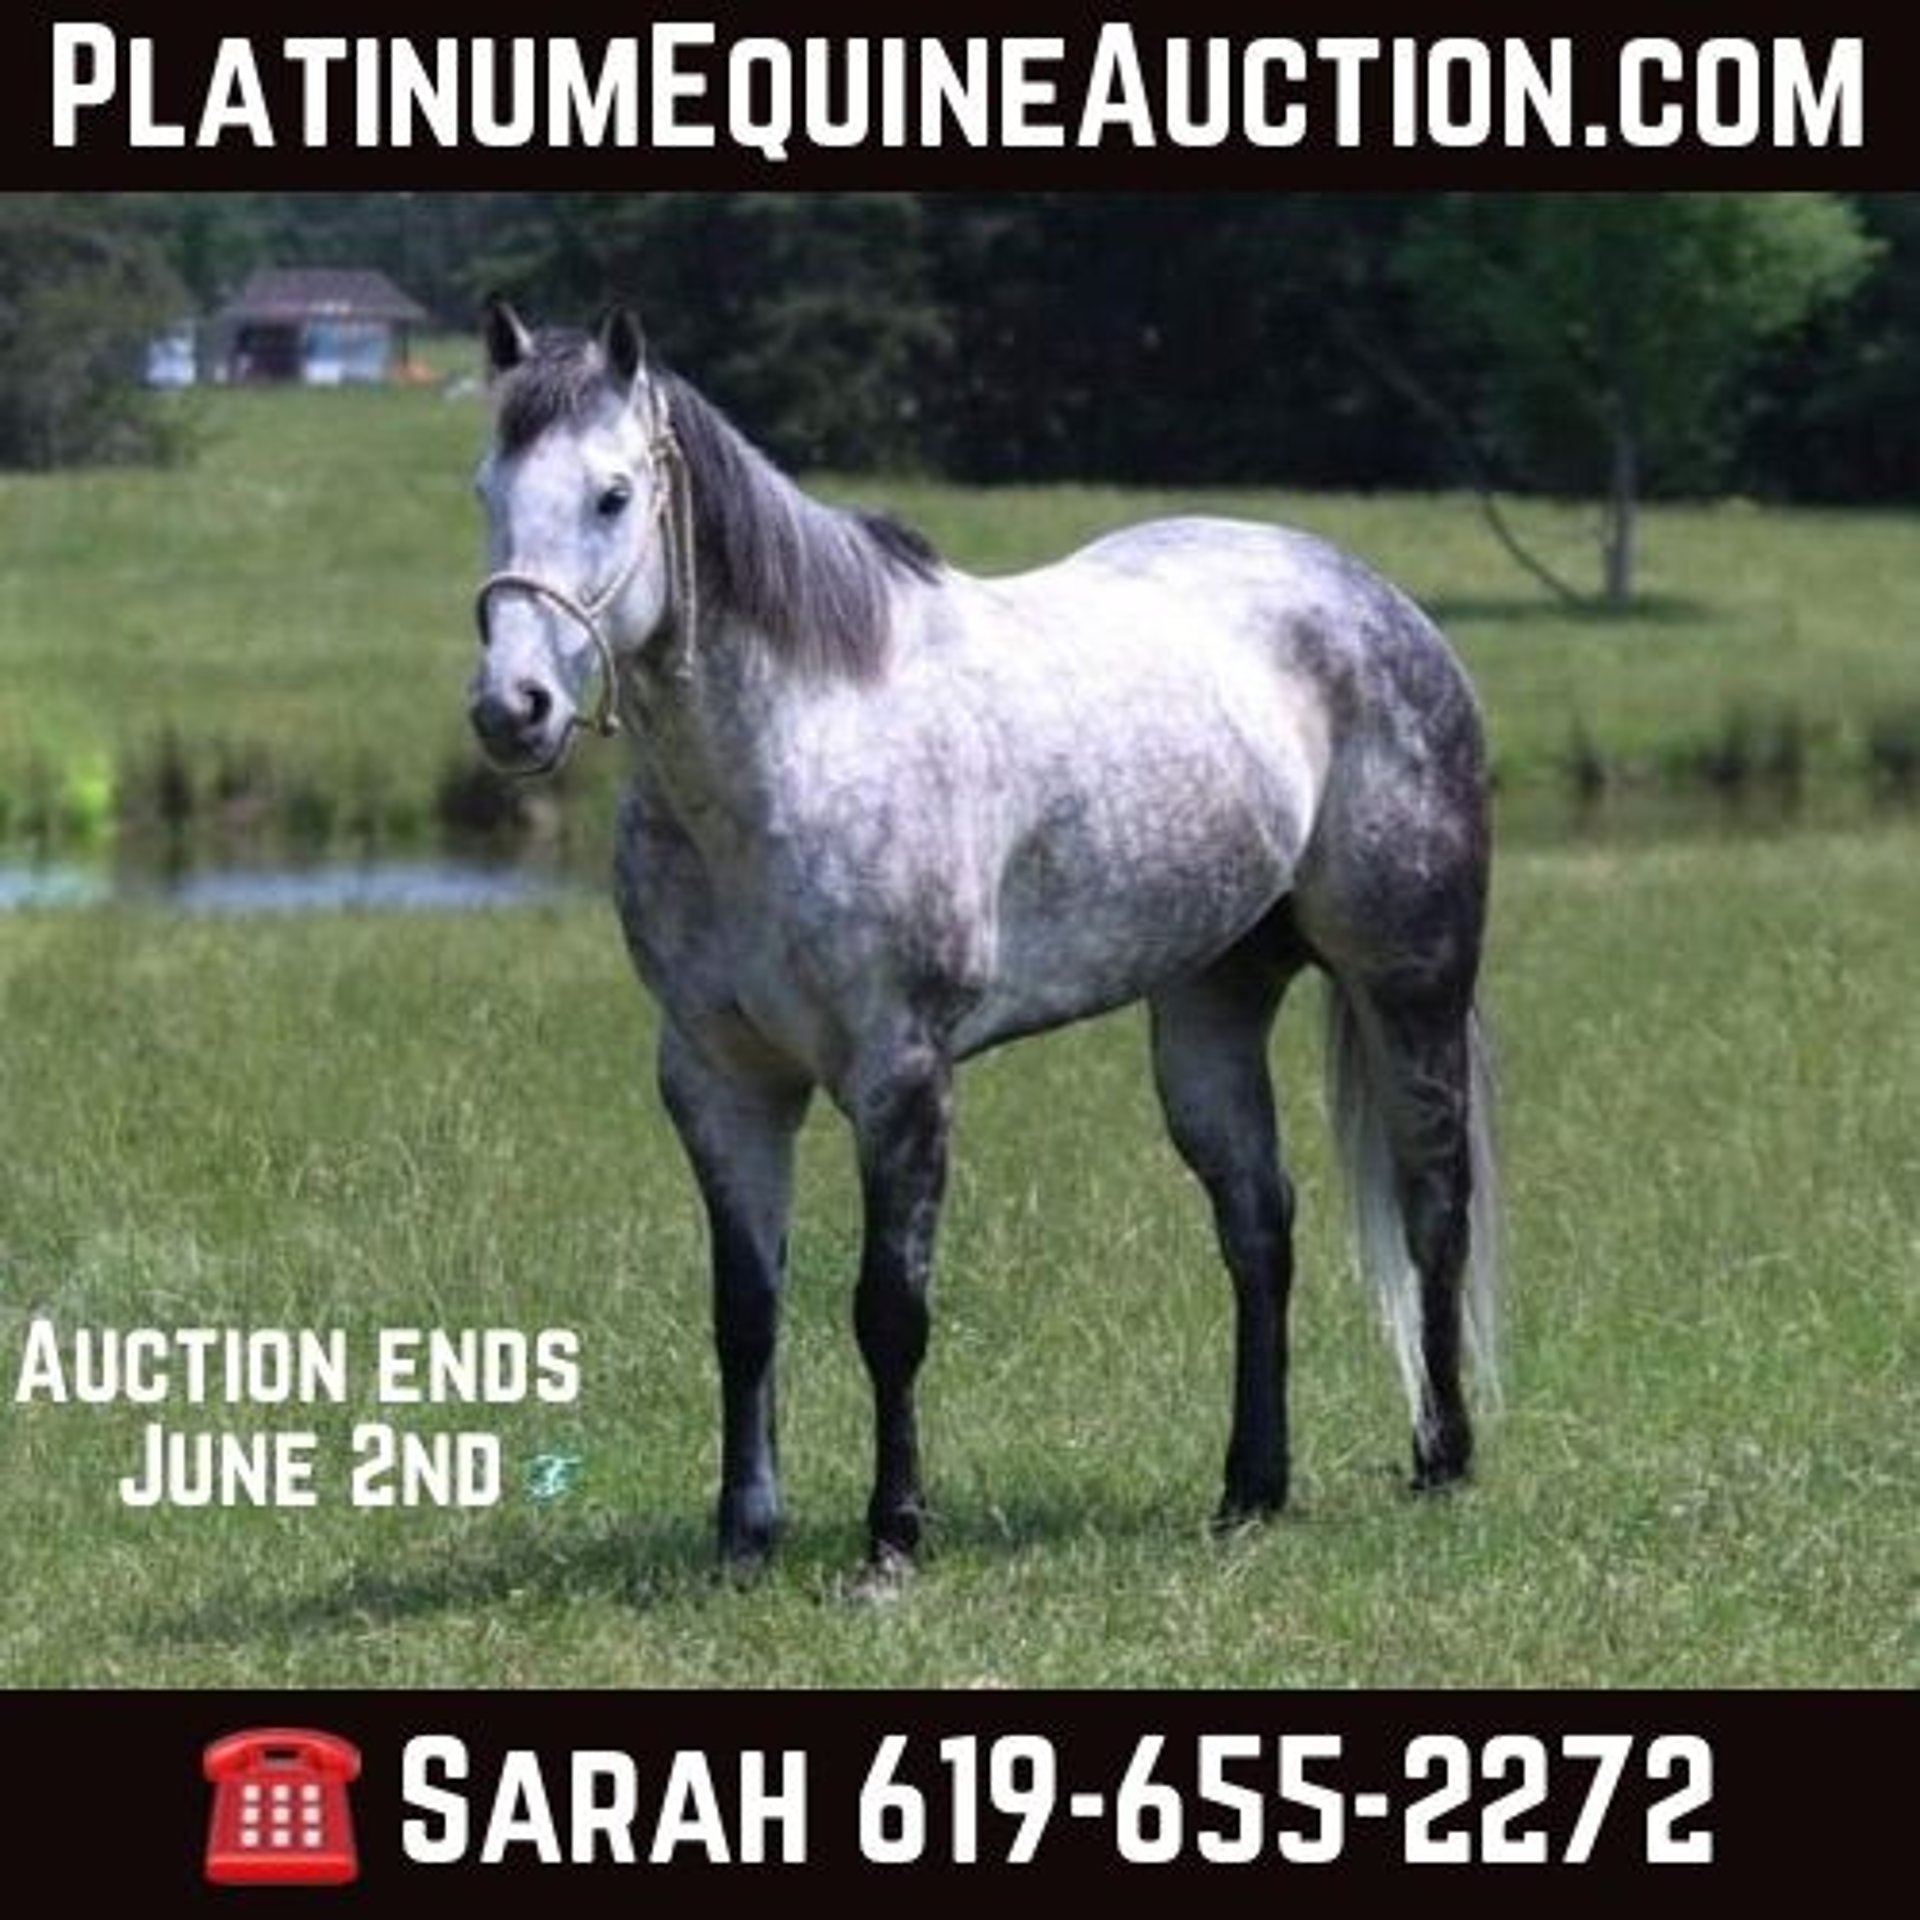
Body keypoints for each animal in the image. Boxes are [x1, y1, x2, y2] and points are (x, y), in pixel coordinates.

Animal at [467, 300, 1499, 1577]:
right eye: (487, 490)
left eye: (613, 495)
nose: (512, 710)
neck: (795, 748)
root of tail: (1376, 601)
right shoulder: (718, 1080)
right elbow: (745, 1311)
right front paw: (743, 1541)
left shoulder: (902, 1076)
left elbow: (888, 1312)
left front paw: (892, 1540)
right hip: (1209, 1006)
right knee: (1260, 1229)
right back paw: (1250, 1491)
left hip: (1410, 984)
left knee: (1434, 1202)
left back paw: (1442, 1459)